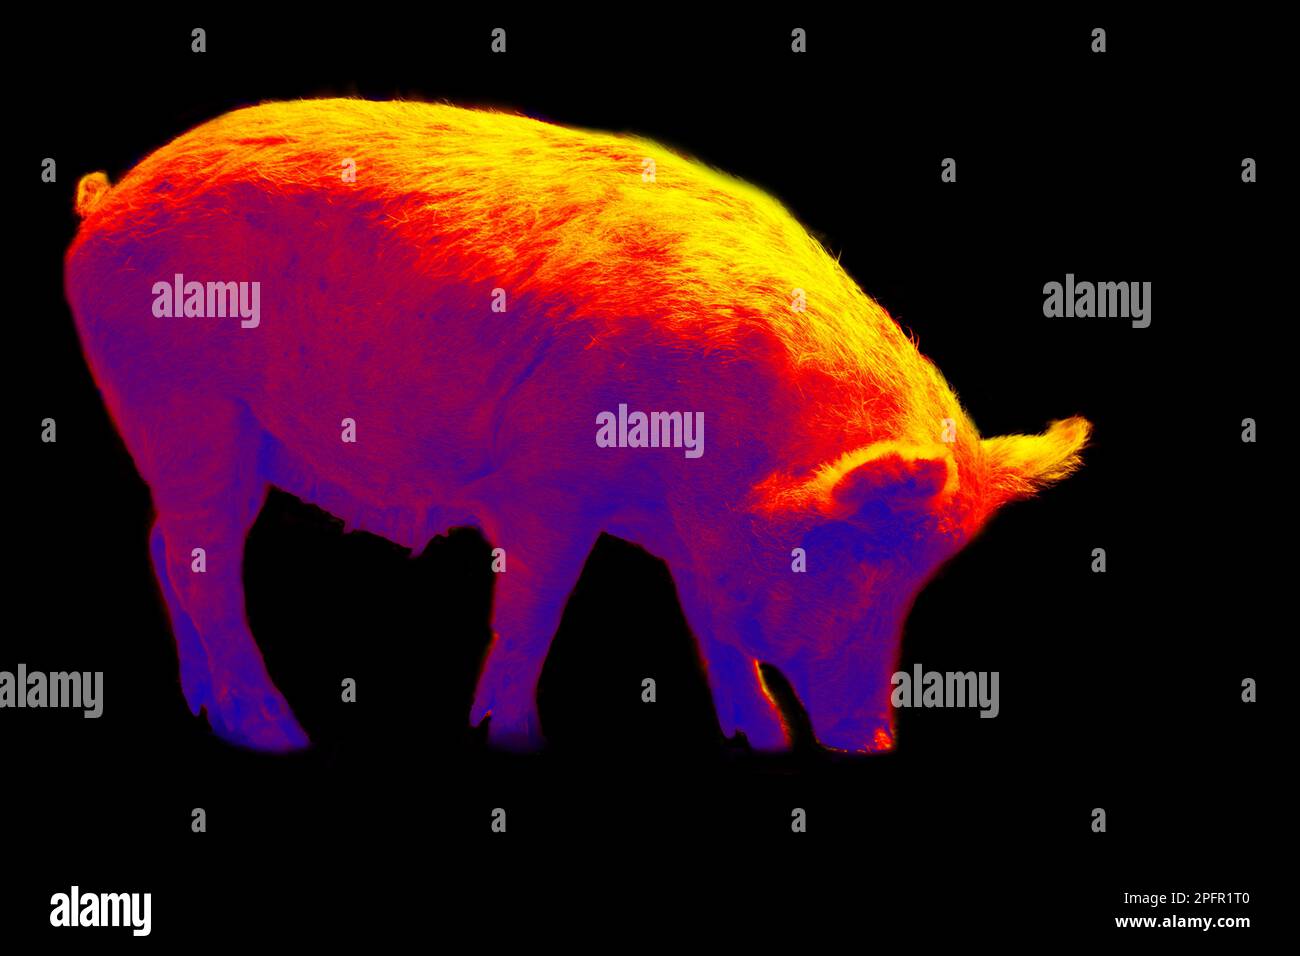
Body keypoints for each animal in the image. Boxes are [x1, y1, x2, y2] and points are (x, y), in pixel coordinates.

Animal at [64, 99, 1090, 753]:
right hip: (186, 405)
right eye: (858, 565)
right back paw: (277, 736)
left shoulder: (693, 532)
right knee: (206, 563)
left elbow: (714, 624)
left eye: (917, 583)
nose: (873, 743)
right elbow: (535, 608)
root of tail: (105, 201)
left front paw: (761, 740)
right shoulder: (545, 479)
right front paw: (512, 739)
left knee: (169, 547)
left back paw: (209, 710)